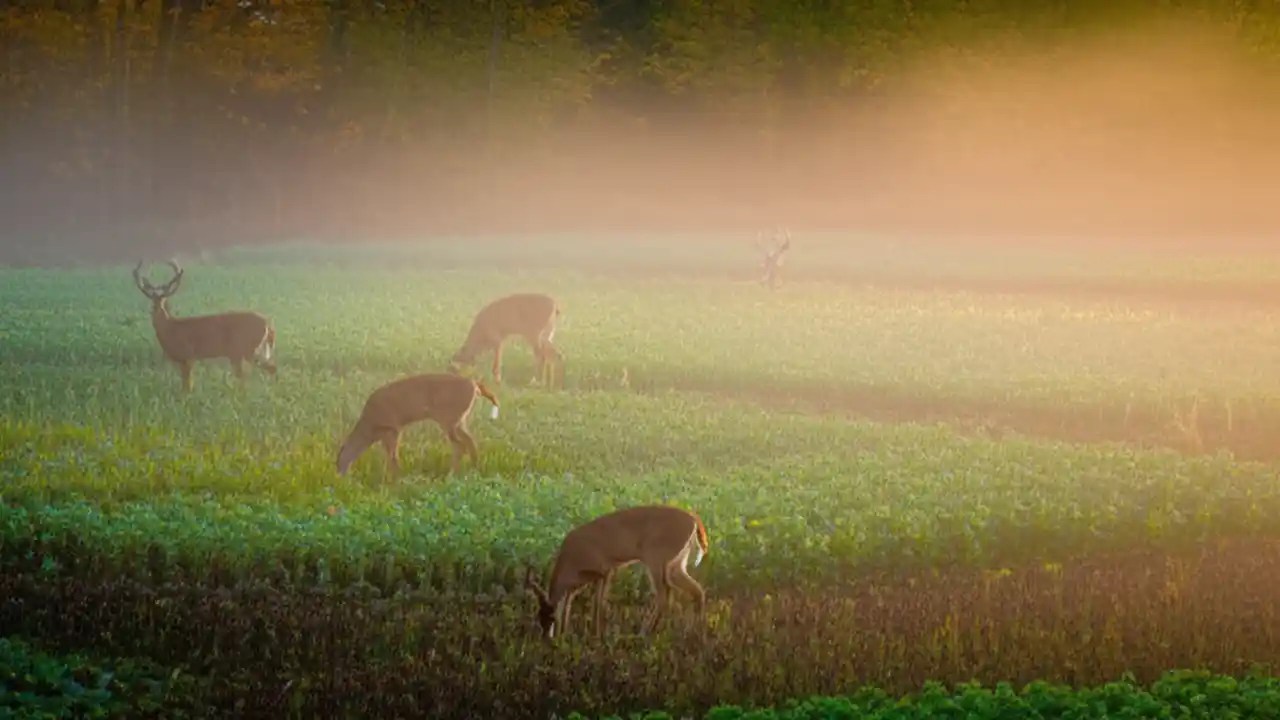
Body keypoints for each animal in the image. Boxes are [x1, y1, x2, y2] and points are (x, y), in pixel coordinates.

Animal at [132, 260, 276, 392]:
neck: (171, 329)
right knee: (266, 369)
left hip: (244, 348)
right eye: (151, 299)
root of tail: (267, 323)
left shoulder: (188, 355)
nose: (155, 308)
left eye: (163, 300)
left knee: (257, 372)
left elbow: (187, 385)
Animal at [336, 372, 500, 479]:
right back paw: (473, 468)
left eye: (338, 460)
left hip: (449, 419)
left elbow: (393, 455)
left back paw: (452, 474)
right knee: (470, 441)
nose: (338, 474)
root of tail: (475, 384)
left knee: (460, 445)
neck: (368, 426)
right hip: (460, 420)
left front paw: (395, 479)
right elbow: (391, 455)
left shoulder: (391, 429)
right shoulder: (389, 432)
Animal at [524, 505, 709, 640]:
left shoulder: (604, 570)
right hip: (676, 565)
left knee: (665, 596)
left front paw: (596, 636)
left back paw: (642, 634)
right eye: (539, 617)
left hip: (655, 559)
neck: (571, 556)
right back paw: (696, 633)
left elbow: (597, 602)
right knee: (697, 591)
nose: (546, 638)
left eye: (550, 617)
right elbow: (571, 600)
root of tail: (693, 519)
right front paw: (565, 634)